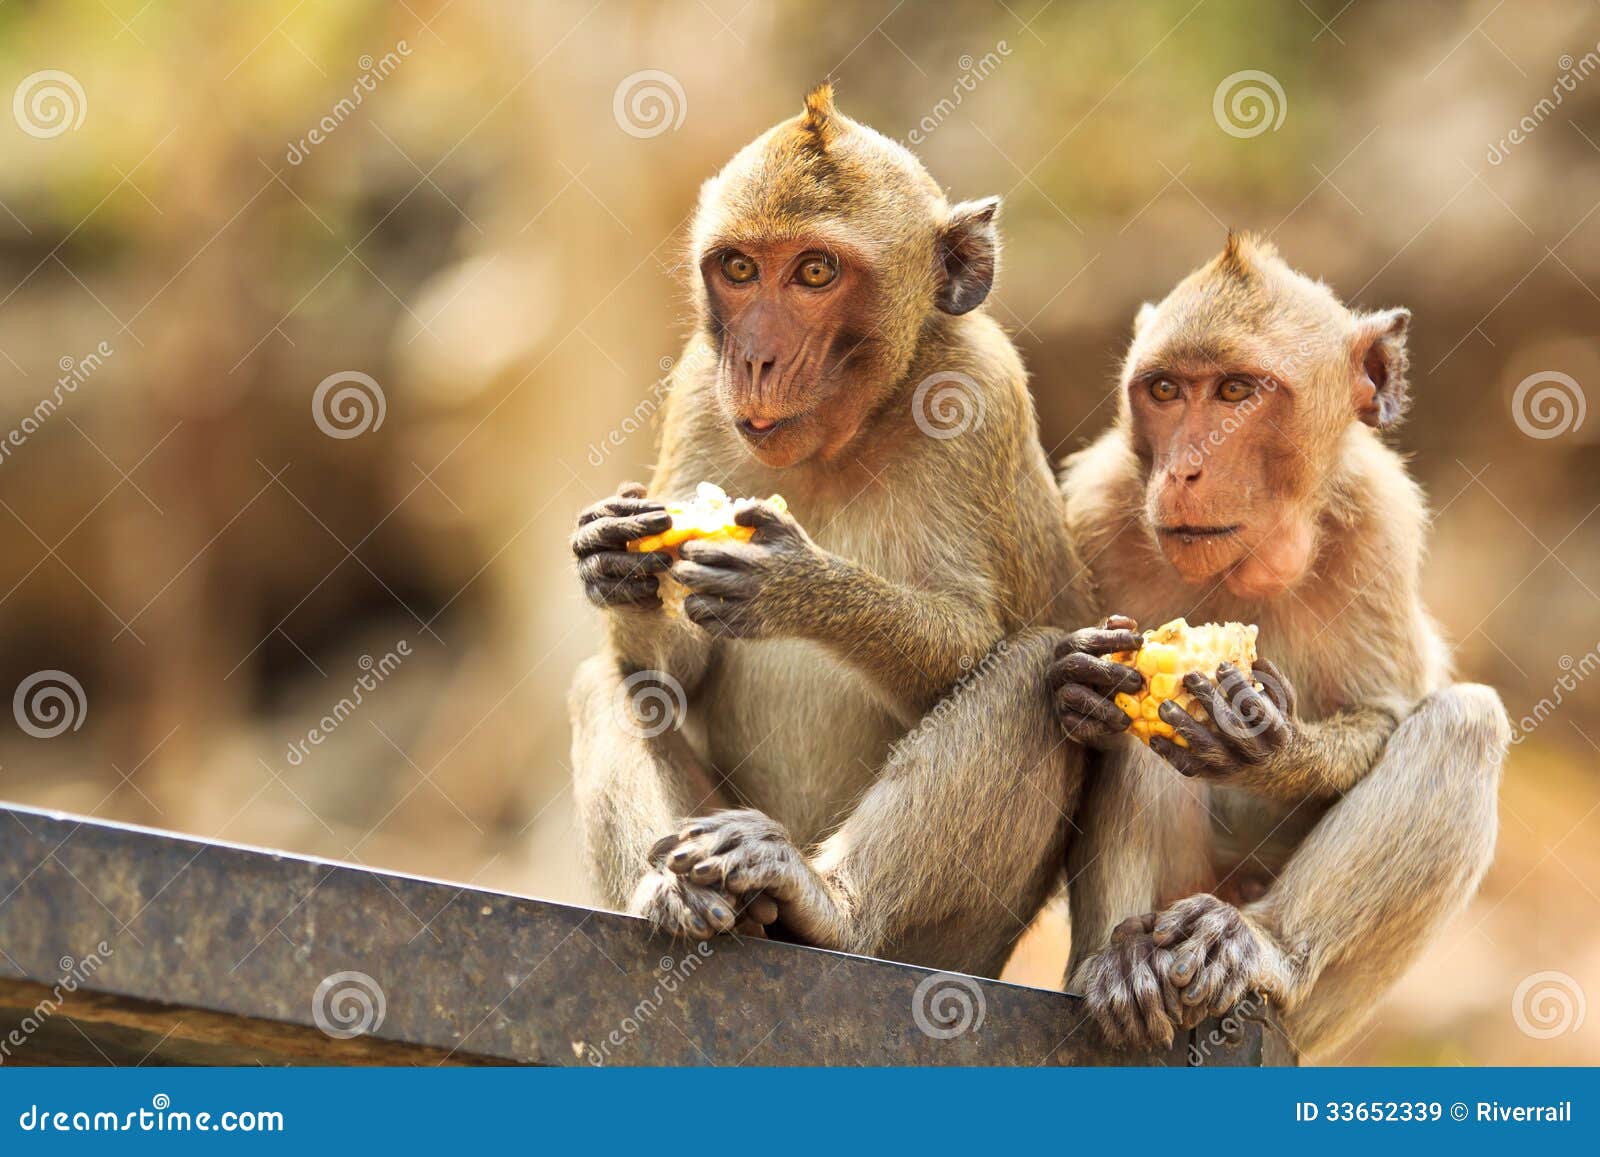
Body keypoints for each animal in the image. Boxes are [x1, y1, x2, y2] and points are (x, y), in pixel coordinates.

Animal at [569, 85, 1086, 977]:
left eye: (816, 272)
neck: (846, 435)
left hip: (959, 943)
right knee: (614, 680)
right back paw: (679, 894)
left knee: (1033, 675)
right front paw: (617, 562)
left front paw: (798, 587)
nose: (756, 360)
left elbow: (974, 640)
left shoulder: (979, 393)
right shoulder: (698, 389)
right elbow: (671, 670)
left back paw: (827, 907)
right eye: (740, 269)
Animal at [1048, 233, 1509, 1057]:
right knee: (1143, 738)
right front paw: (1081, 690)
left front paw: (1268, 742)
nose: (1184, 468)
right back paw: (1120, 961)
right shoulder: (1095, 502)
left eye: (1237, 391)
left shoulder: (1379, 524)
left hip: (1318, 1011)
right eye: (1165, 390)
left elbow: (1385, 713)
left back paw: (1259, 942)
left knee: (1467, 722)